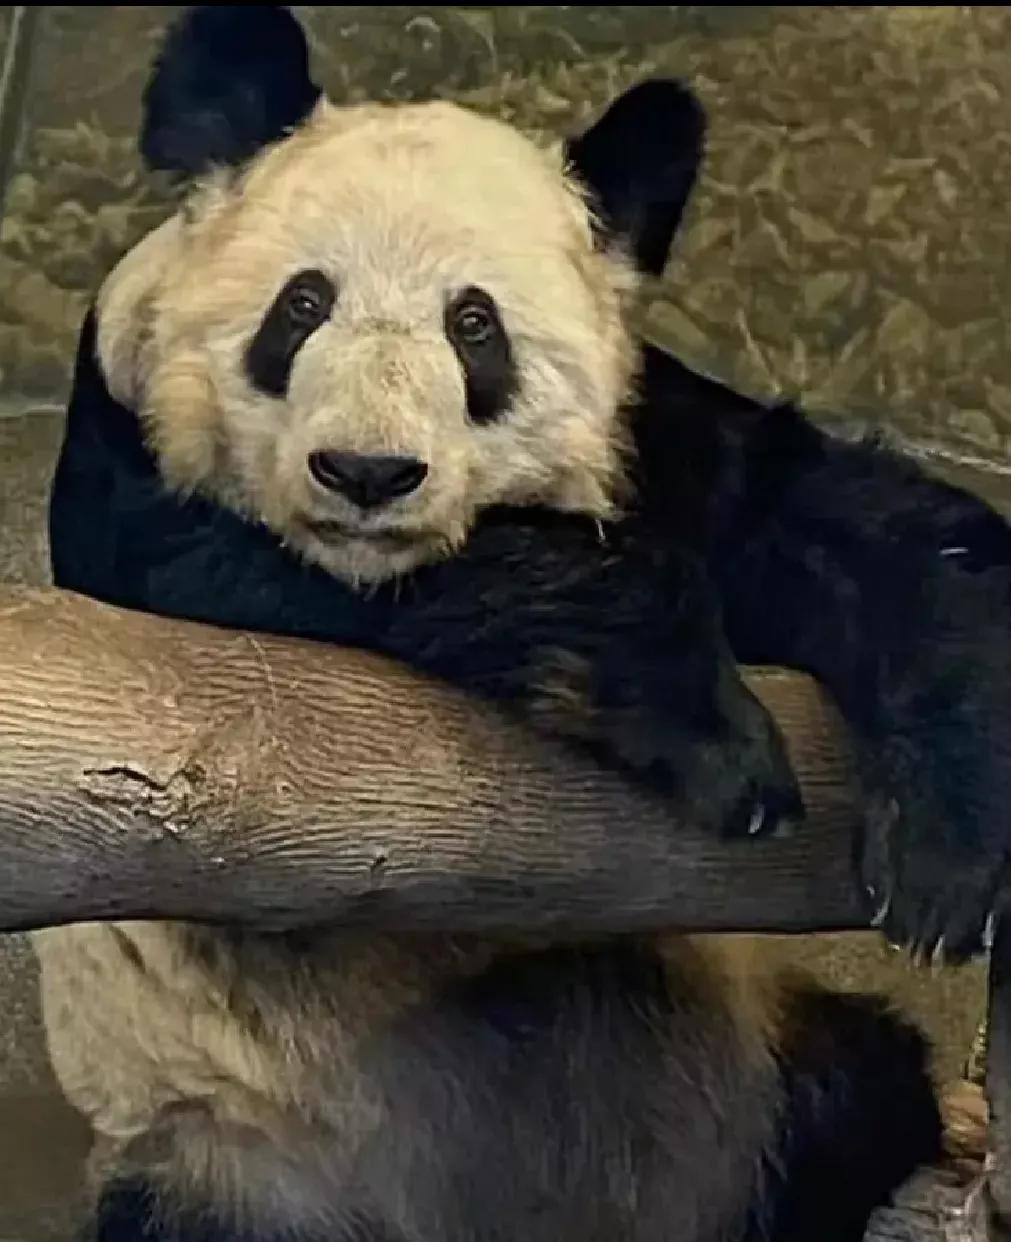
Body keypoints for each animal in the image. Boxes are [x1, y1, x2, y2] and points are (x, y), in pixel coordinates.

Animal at [36, 3, 1011, 1240]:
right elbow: (271, 591)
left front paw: (944, 857)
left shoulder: (660, 440)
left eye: (474, 327)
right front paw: (715, 738)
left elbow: (849, 527)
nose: (367, 473)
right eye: (301, 306)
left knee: (858, 1084)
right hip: (228, 1166)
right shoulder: (133, 490)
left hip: (762, 1072)